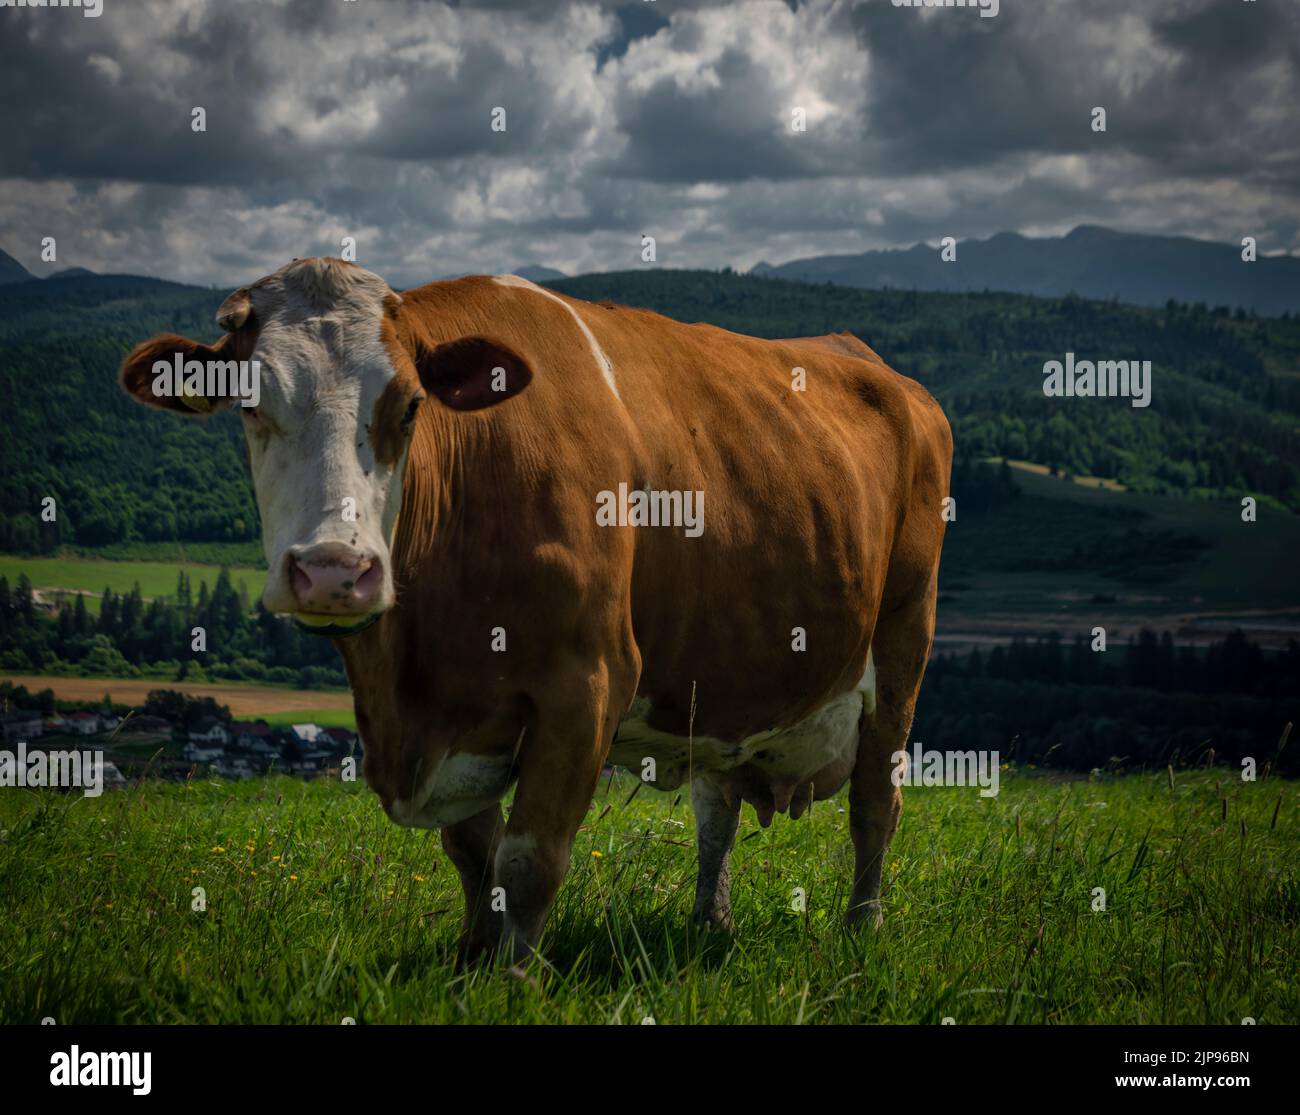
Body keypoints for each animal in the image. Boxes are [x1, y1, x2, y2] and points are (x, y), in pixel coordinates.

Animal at [119, 258, 952, 963]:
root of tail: (874, 364)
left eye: (410, 405)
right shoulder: (453, 712)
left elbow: (528, 858)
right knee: (716, 805)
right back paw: (708, 922)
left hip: (905, 642)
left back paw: (862, 927)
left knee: (876, 800)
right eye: (249, 402)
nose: (333, 571)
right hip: (723, 677)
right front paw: (470, 957)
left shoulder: (585, 683)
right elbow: (472, 854)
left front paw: (512, 977)